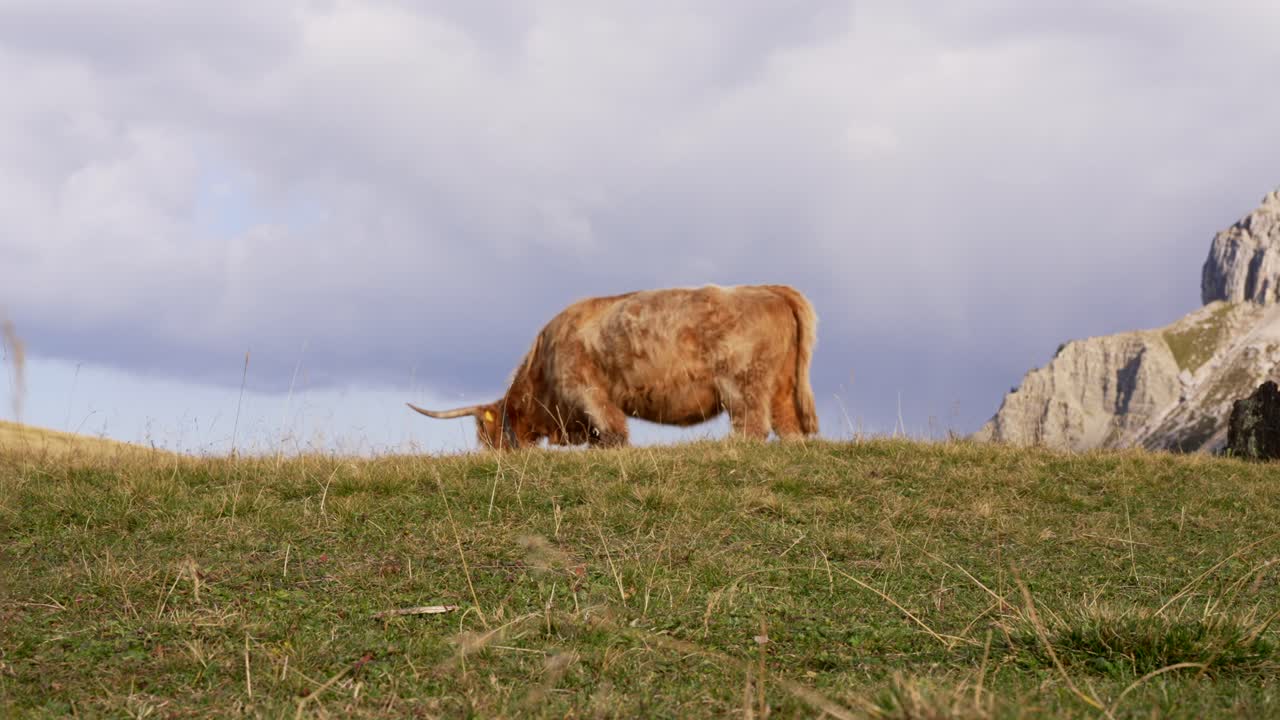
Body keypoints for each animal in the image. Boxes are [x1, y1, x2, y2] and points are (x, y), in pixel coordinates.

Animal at [407, 284, 819, 450]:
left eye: (486, 431)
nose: (491, 456)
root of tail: (771, 288)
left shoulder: (587, 390)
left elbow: (613, 431)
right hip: (782, 390)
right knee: (788, 428)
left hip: (744, 385)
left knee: (752, 426)